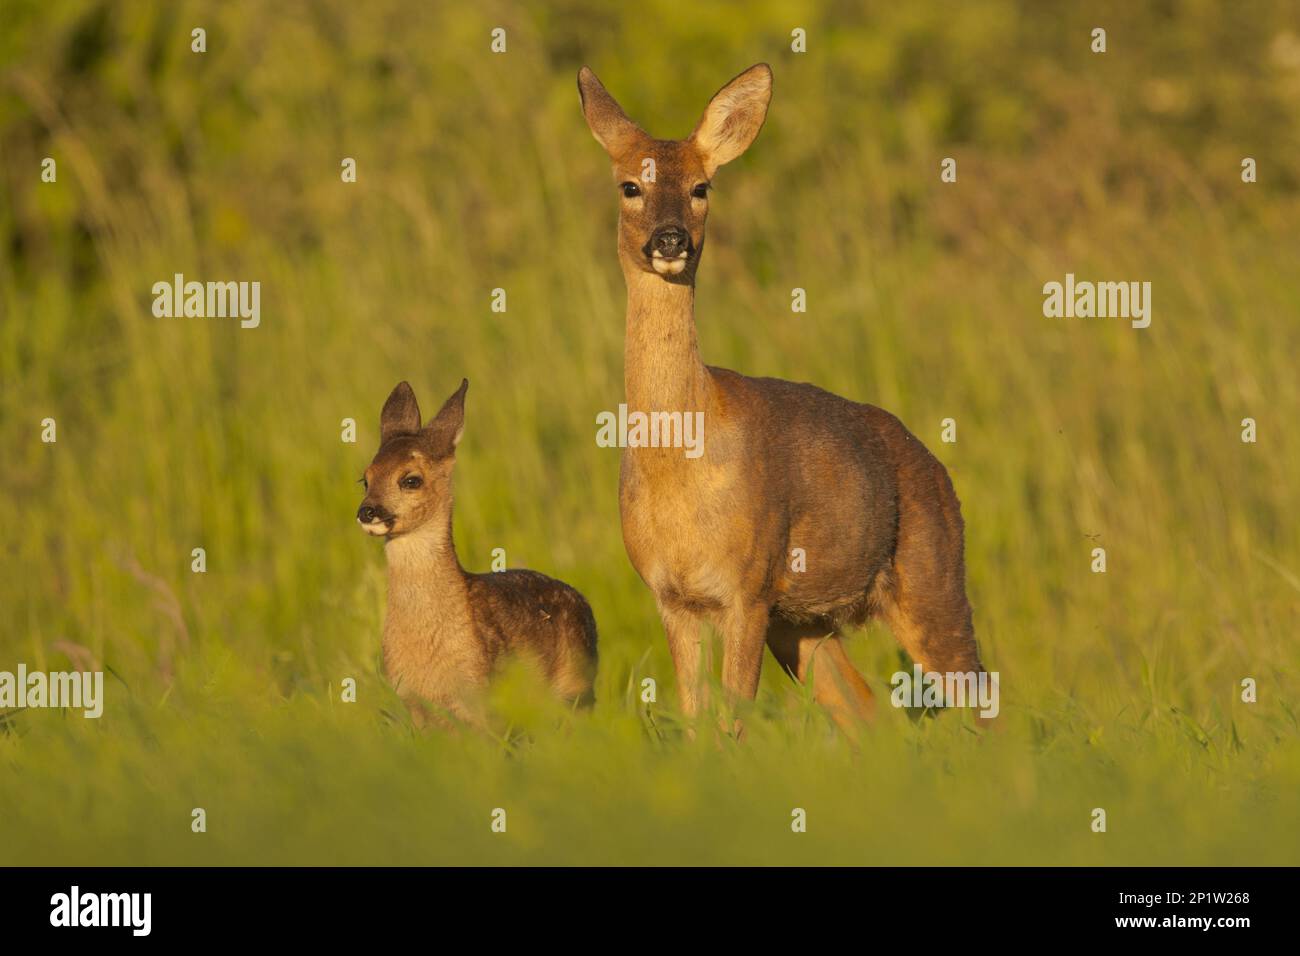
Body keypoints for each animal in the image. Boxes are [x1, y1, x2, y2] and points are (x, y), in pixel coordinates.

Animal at [356, 379, 598, 728]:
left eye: (411, 479)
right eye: (366, 479)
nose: (368, 511)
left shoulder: (481, 697)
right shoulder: (411, 702)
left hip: (575, 691)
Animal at [577, 63, 990, 736]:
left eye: (701, 187)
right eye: (629, 186)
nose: (670, 238)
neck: (680, 463)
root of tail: (935, 465)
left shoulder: (748, 585)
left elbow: (731, 724)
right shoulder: (672, 596)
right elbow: (696, 721)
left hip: (932, 574)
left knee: (982, 701)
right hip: (804, 624)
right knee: (869, 713)